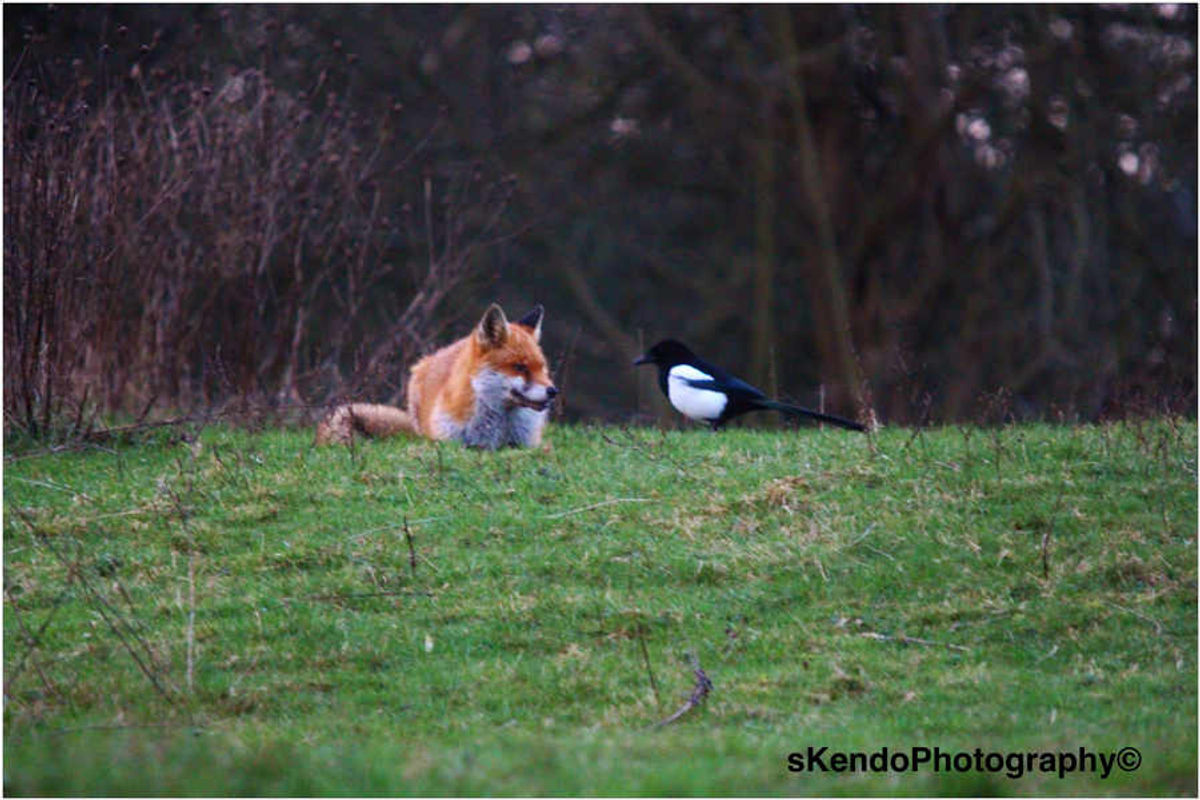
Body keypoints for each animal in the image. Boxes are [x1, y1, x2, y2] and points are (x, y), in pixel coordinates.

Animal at [315, 303, 558, 449]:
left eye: (542, 367)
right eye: (520, 367)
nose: (553, 391)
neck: (496, 430)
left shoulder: (525, 444)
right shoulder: (448, 441)